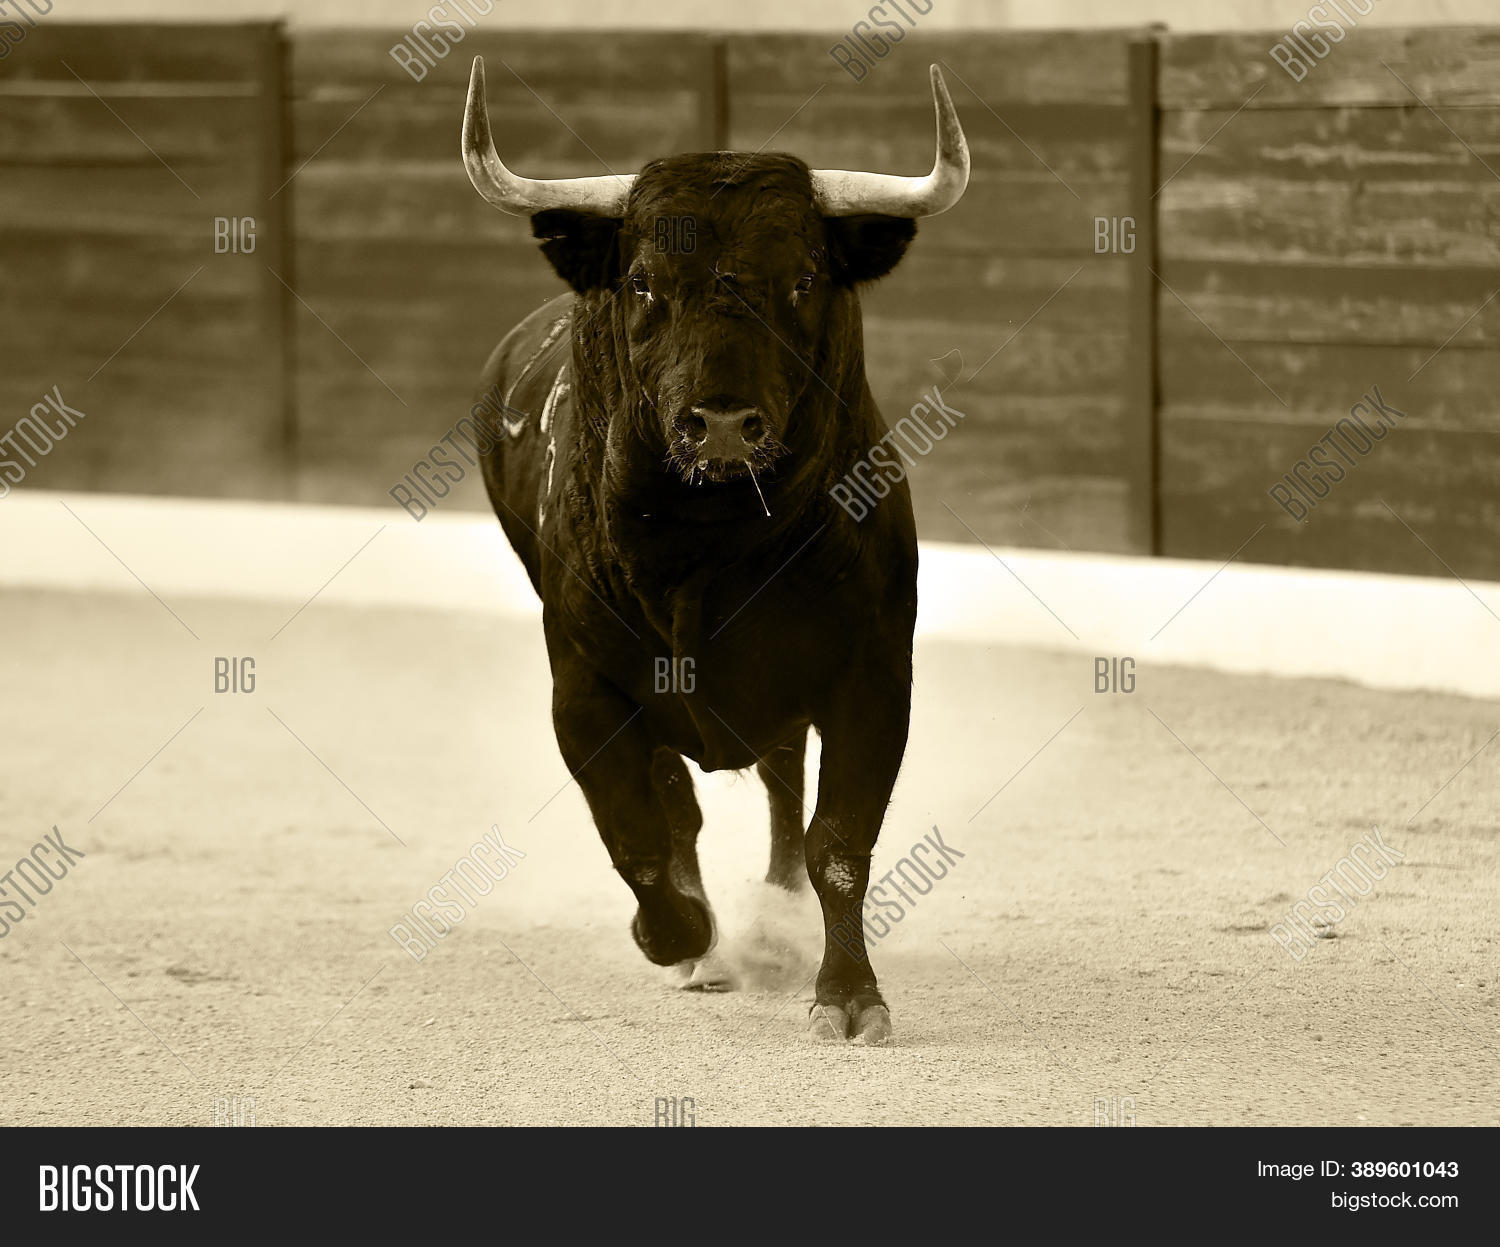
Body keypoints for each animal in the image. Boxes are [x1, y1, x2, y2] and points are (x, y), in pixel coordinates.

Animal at [461, 56, 968, 1044]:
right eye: (645, 282)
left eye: (804, 278)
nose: (724, 423)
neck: (708, 541)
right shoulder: (583, 691)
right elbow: (639, 838)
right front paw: (683, 939)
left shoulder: (871, 674)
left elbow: (838, 842)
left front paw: (847, 995)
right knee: (677, 808)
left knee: (780, 786)